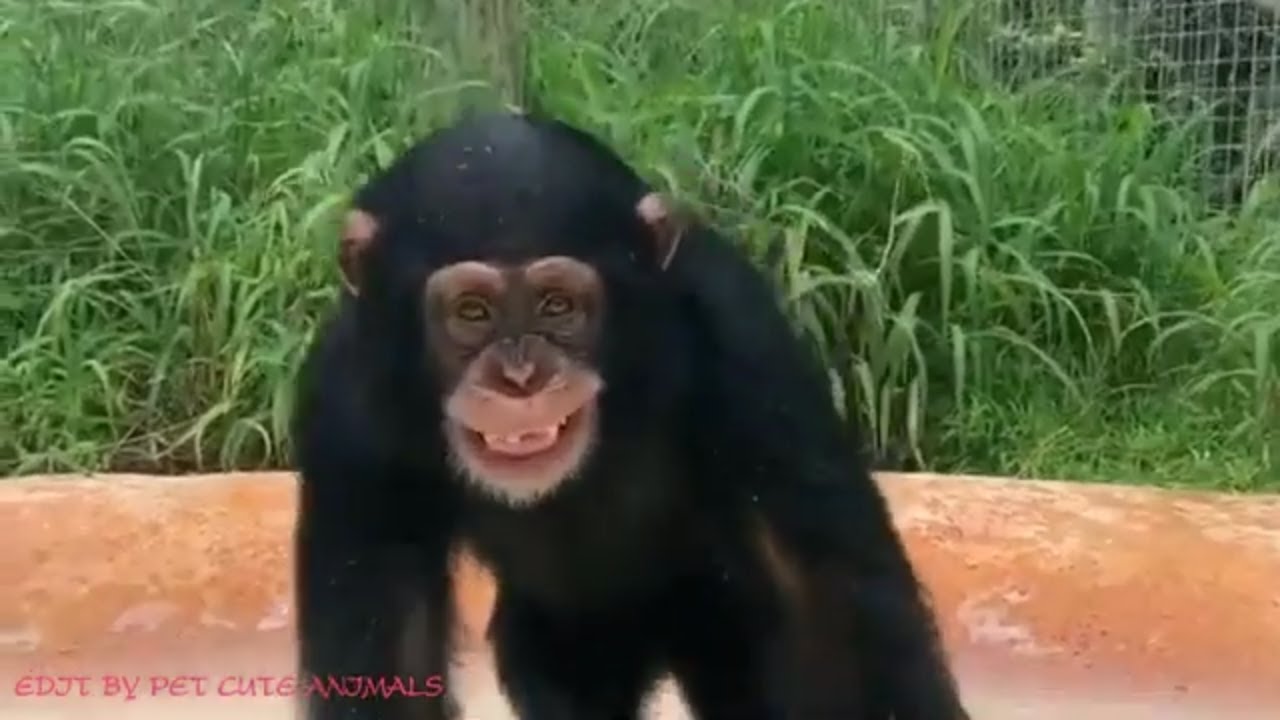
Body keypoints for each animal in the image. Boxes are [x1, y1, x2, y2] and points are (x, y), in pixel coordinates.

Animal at [291, 110, 969, 720]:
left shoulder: (742, 342)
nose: (520, 377)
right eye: (472, 312)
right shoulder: (346, 408)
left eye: (557, 305)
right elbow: (386, 644)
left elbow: (833, 608)